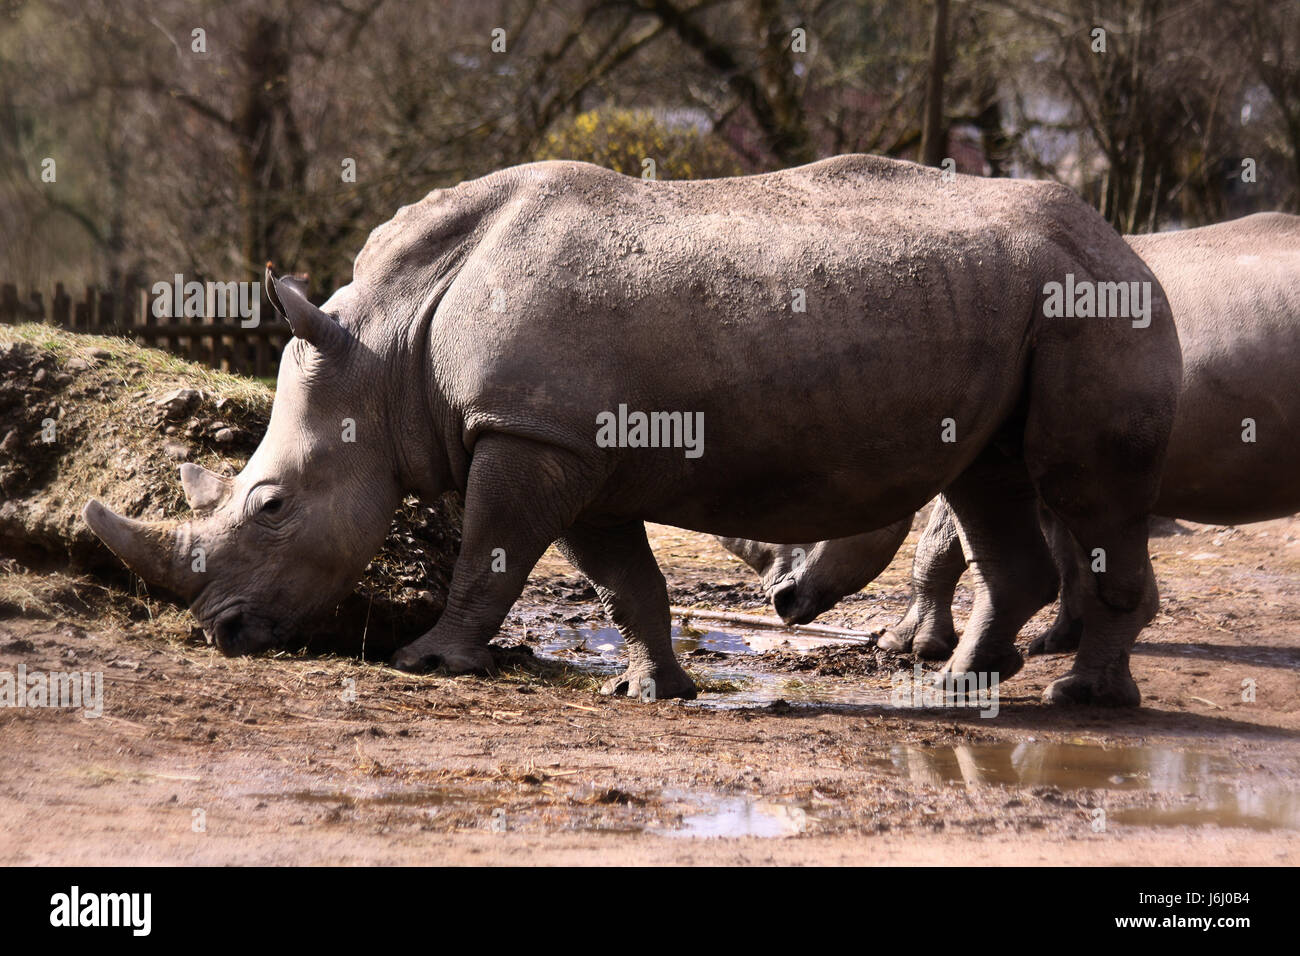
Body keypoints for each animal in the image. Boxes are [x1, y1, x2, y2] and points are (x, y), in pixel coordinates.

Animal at [82, 155, 1181, 706]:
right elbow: (622, 580)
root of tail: (1126, 242)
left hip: (1093, 304)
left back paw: (1085, 699)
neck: (386, 344)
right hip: (1019, 302)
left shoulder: (530, 433)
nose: (220, 632)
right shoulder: (567, 444)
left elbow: (488, 555)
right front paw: (651, 690)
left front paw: (429, 663)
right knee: (989, 479)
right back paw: (959, 686)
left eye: (270, 505)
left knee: (1087, 493)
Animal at [722, 212, 1300, 665]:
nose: (783, 605)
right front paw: (1058, 642)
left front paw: (904, 646)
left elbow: (936, 546)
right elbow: (1070, 555)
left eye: (819, 517)